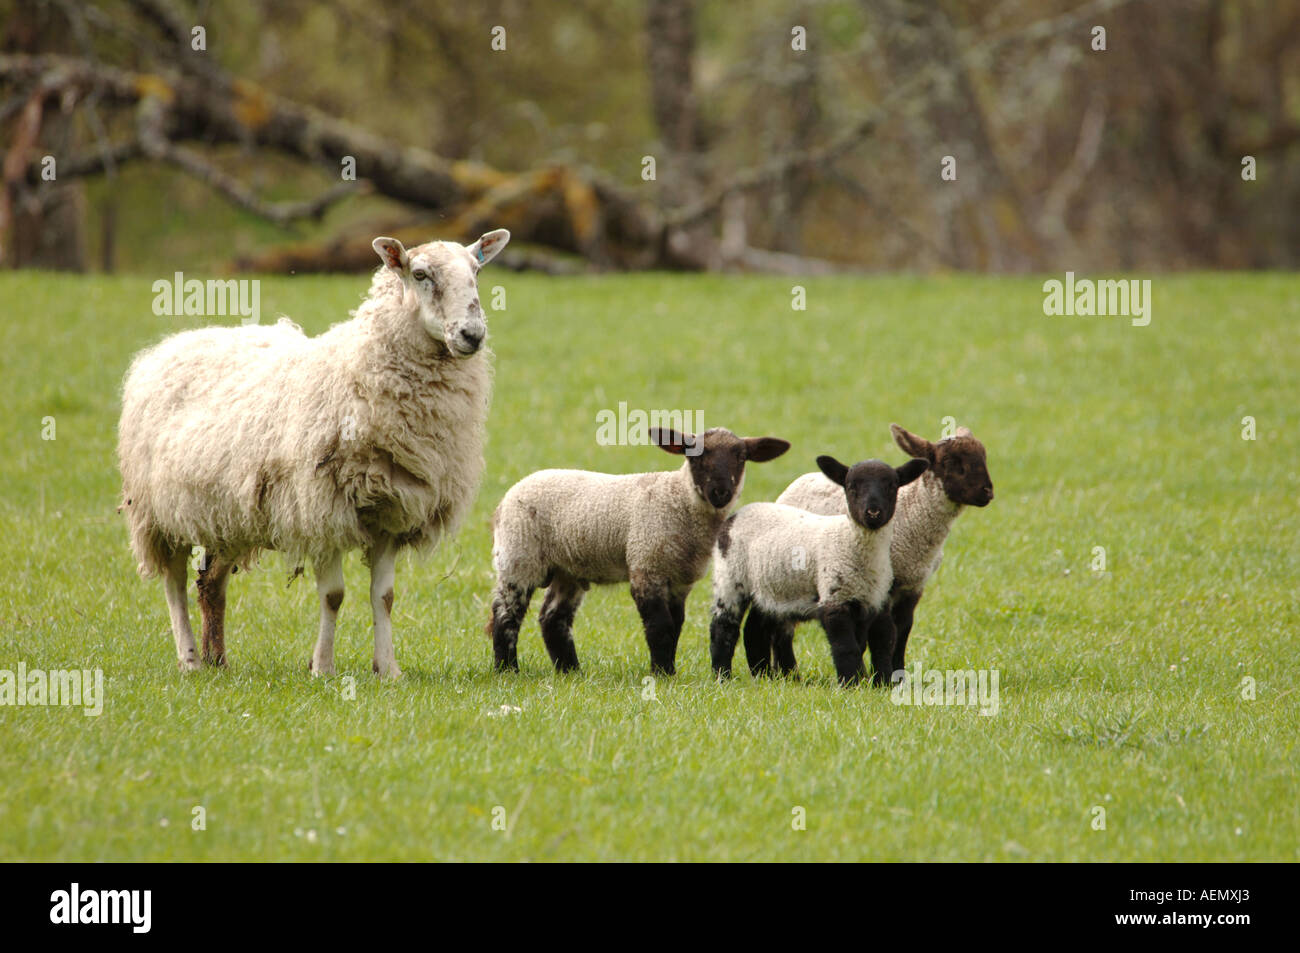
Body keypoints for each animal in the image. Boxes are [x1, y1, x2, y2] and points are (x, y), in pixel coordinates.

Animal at [117, 229, 511, 677]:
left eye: (476, 271)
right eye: (420, 274)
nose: (472, 335)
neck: (357, 373)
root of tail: (174, 342)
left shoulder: (392, 512)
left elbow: (385, 597)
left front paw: (388, 670)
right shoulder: (321, 511)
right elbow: (334, 596)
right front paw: (322, 667)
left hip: (225, 512)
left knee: (211, 582)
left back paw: (218, 658)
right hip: (157, 513)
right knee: (174, 582)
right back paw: (190, 660)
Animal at [488, 427, 790, 675]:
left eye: (741, 457)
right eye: (695, 456)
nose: (720, 492)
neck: (679, 499)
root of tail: (507, 497)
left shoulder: (679, 580)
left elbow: (676, 625)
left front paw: (669, 669)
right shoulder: (647, 564)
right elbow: (660, 626)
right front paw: (662, 673)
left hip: (567, 570)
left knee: (553, 619)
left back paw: (570, 672)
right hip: (518, 556)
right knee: (505, 614)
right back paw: (508, 670)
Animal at [710, 455, 929, 686]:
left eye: (892, 486)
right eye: (851, 486)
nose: (873, 512)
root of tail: (735, 515)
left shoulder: (877, 599)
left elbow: (883, 642)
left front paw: (884, 683)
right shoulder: (834, 597)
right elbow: (847, 647)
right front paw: (851, 683)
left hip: (769, 589)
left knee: (755, 628)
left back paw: (764, 675)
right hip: (730, 576)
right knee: (723, 627)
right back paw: (722, 675)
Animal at [760, 423, 993, 677]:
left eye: (984, 457)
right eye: (950, 461)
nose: (987, 492)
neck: (913, 517)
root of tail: (799, 481)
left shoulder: (913, 586)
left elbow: (903, 630)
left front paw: (898, 674)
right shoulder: (883, 585)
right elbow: (884, 631)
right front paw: (877, 675)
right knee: (783, 625)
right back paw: (788, 673)